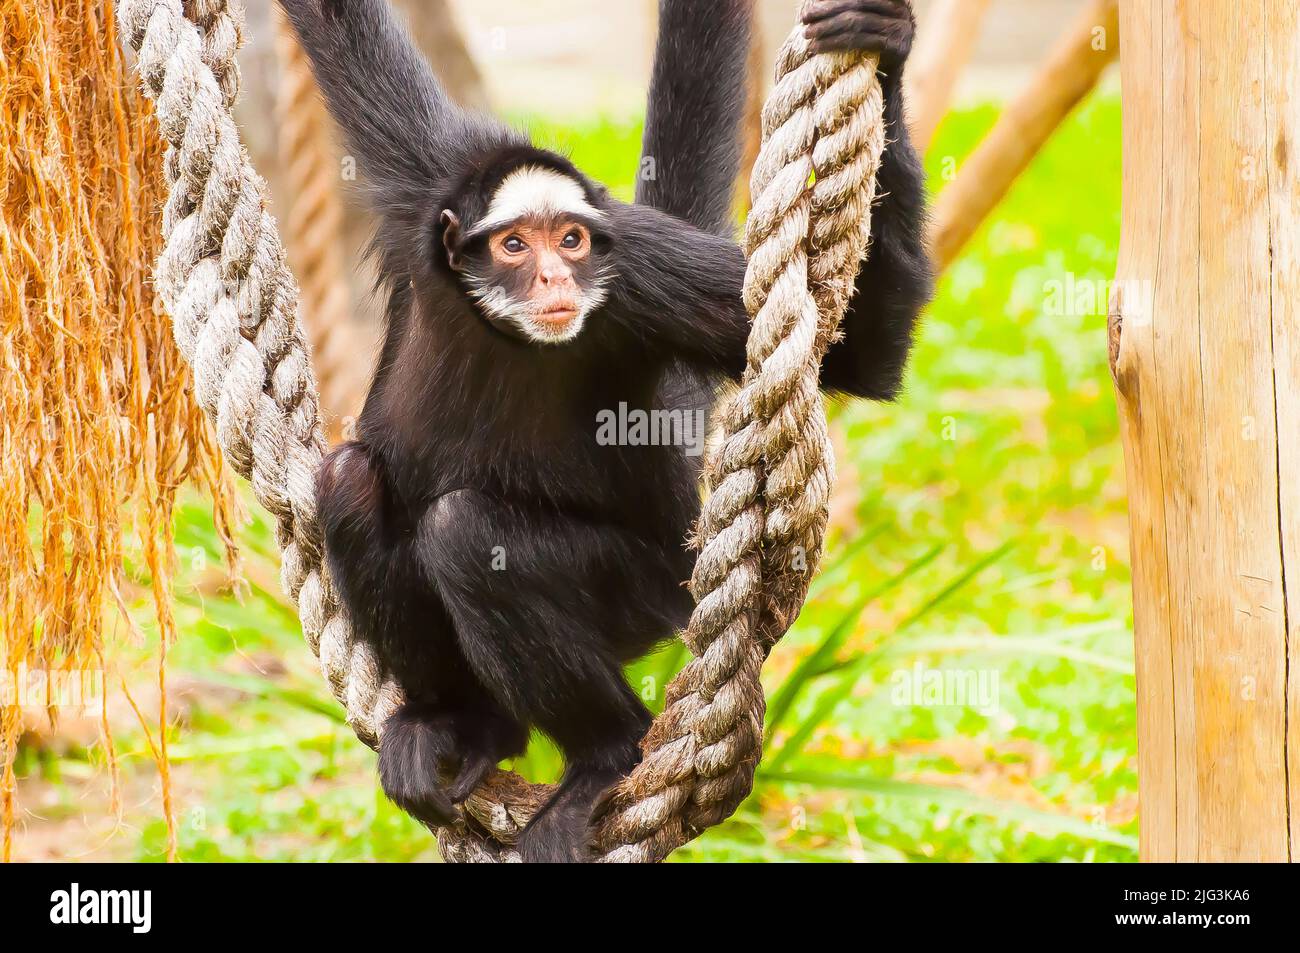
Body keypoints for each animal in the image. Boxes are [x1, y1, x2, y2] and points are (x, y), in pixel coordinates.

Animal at [279, 0, 929, 862]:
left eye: (571, 239)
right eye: (515, 244)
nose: (557, 275)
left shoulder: (637, 262)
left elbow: (865, 357)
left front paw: (887, 48)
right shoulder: (428, 186)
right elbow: (335, 26)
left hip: (651, 590)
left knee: (465, 530)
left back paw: (604, 756)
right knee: (351, 481)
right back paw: (470, 724)